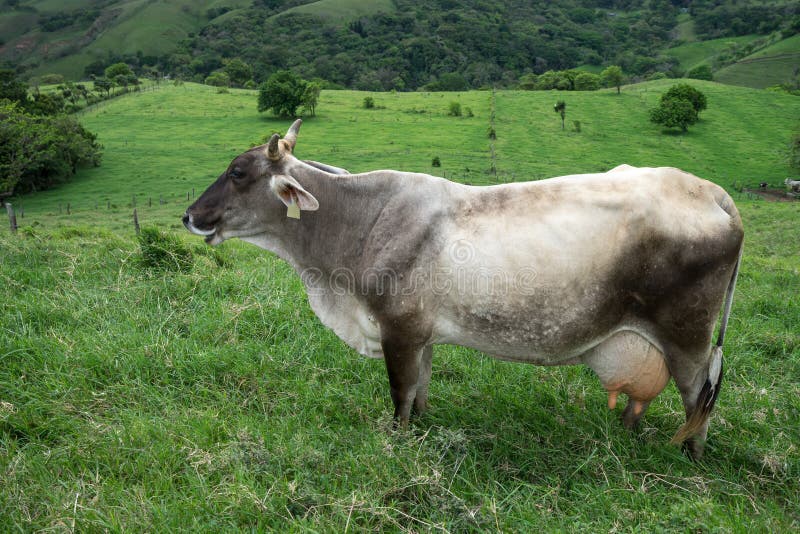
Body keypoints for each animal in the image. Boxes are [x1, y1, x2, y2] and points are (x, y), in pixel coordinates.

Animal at [184, 120, 744, 459]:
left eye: (238, 172)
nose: (190, 215)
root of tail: (709, 190)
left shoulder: (397, 329)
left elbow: (400, 394)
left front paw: (398, 442)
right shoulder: (421, 334)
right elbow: (421, 391)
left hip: (688, 336)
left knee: (699, 396)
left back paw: (689, 456)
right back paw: (627, 431)